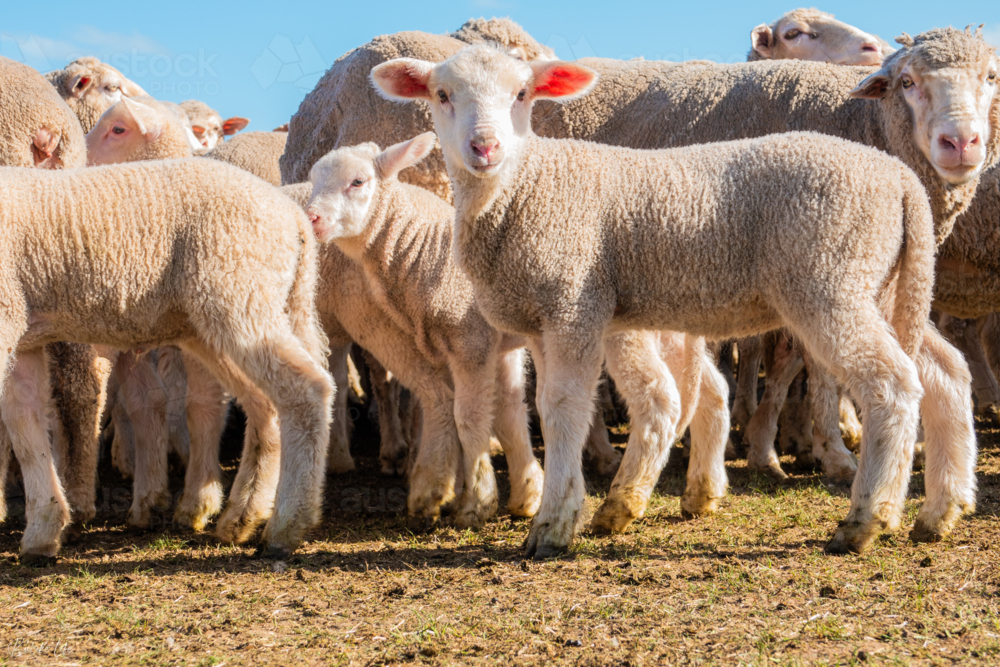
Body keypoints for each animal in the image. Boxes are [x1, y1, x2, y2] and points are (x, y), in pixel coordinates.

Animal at [0, 158, 333, 561]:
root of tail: (294, 216)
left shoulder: (5, 315)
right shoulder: (22, 333)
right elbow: (25, 425)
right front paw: (43, 529)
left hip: (238, 292)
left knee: (307, 390)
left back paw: (287, 524)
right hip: (214, 320)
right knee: (264, 404)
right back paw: (242, 516)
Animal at [371, 46, 961, 559]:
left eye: (522, 93)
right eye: (442, 94)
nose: (485, 148)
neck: (523, 186)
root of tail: (901, 177)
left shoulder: (573, 301)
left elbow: (563, 409)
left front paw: (554, 525)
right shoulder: (543, 318)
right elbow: (545, 406)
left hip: (832, 280)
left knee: (892, 384)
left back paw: (867, 520)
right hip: (884, 284)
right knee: (944, 371)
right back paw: (941, 511)